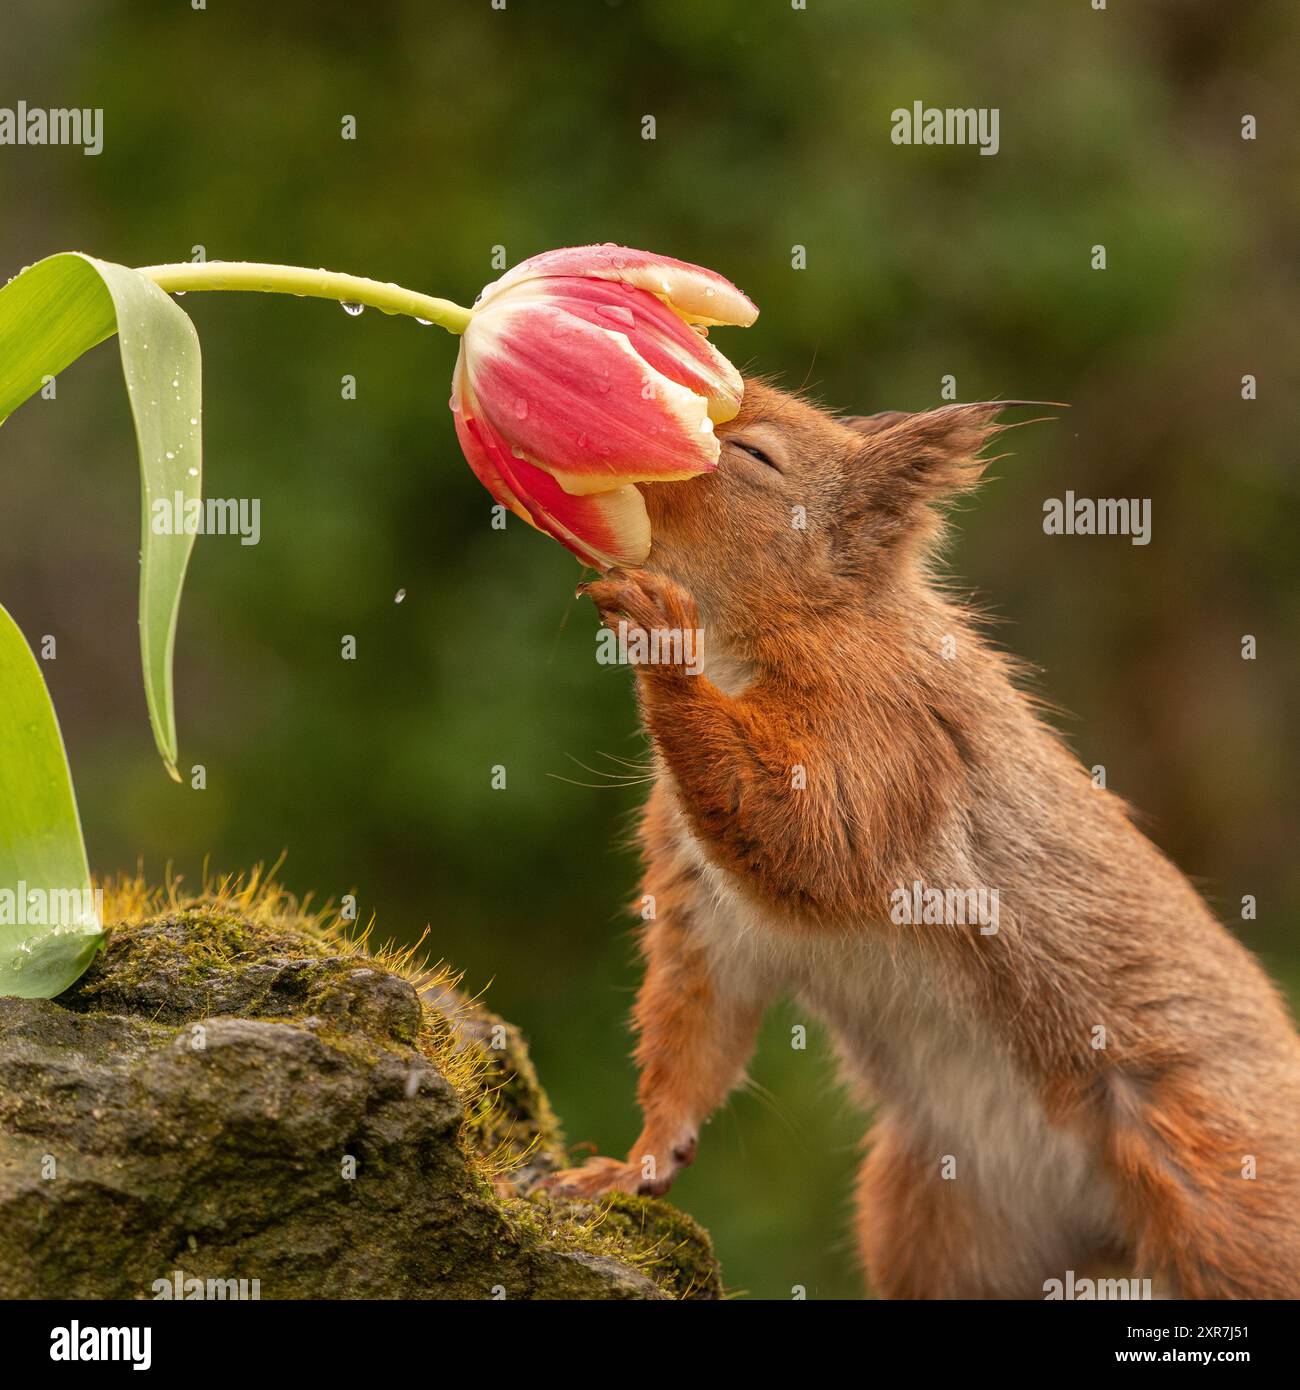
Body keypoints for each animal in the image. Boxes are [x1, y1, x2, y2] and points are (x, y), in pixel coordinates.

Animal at [542, 378, 1300, 1299]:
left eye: (756, 456)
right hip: (937, 1217)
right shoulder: (707, 910)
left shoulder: (887, 734)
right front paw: (636, 1162)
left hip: (1227, 1199)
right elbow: (694, 1026)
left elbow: (811, 837)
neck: (766, 633)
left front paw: (662, 642)